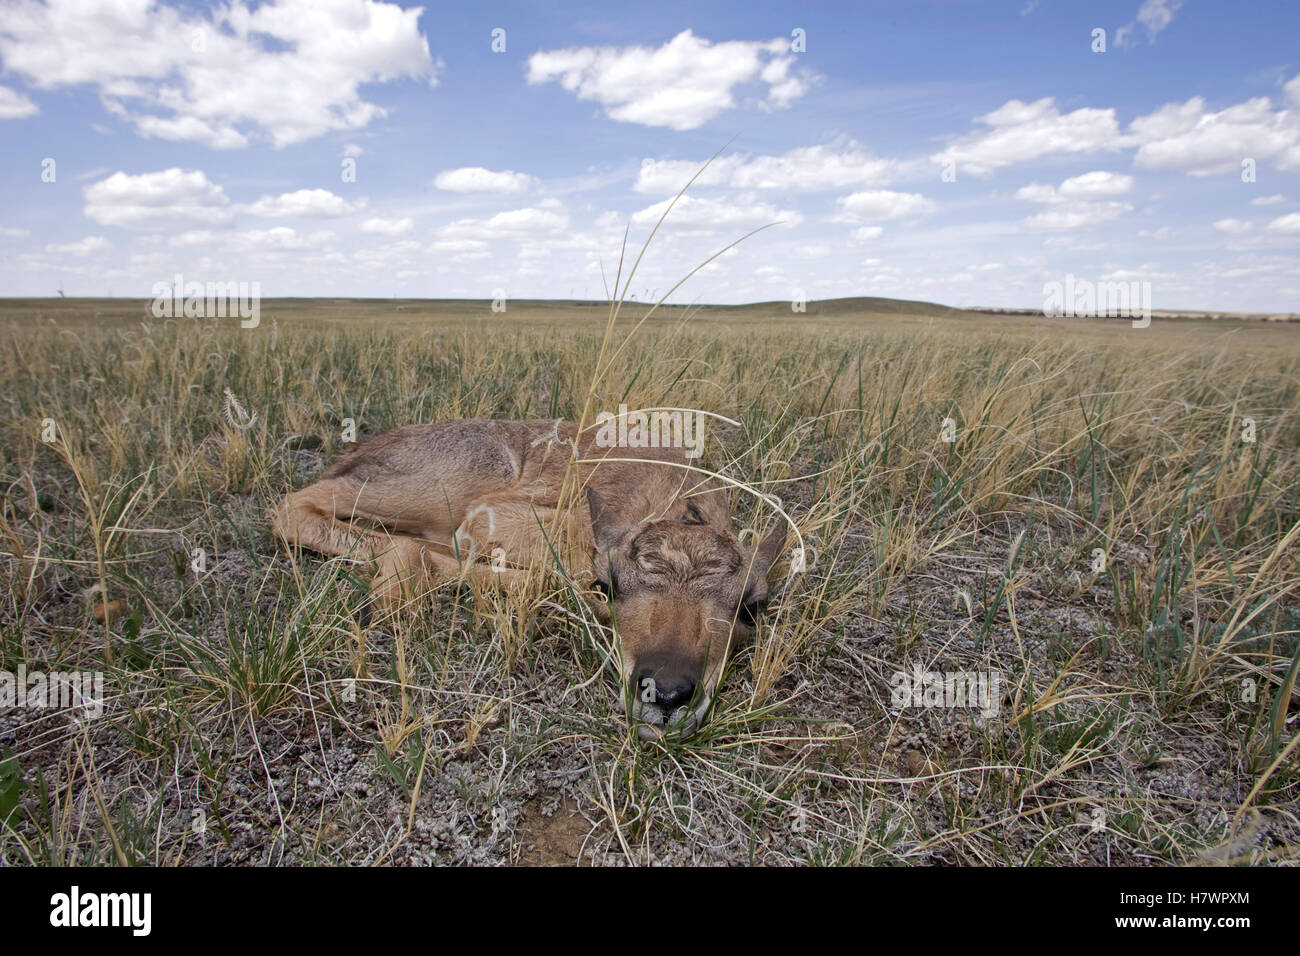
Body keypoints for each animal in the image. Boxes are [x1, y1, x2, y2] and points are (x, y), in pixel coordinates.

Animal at [271, 417, 786, 740]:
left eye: (751, 606)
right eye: (608, 585)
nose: (665, 693)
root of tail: (361, 448)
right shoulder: (492, 517)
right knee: (295, 506)